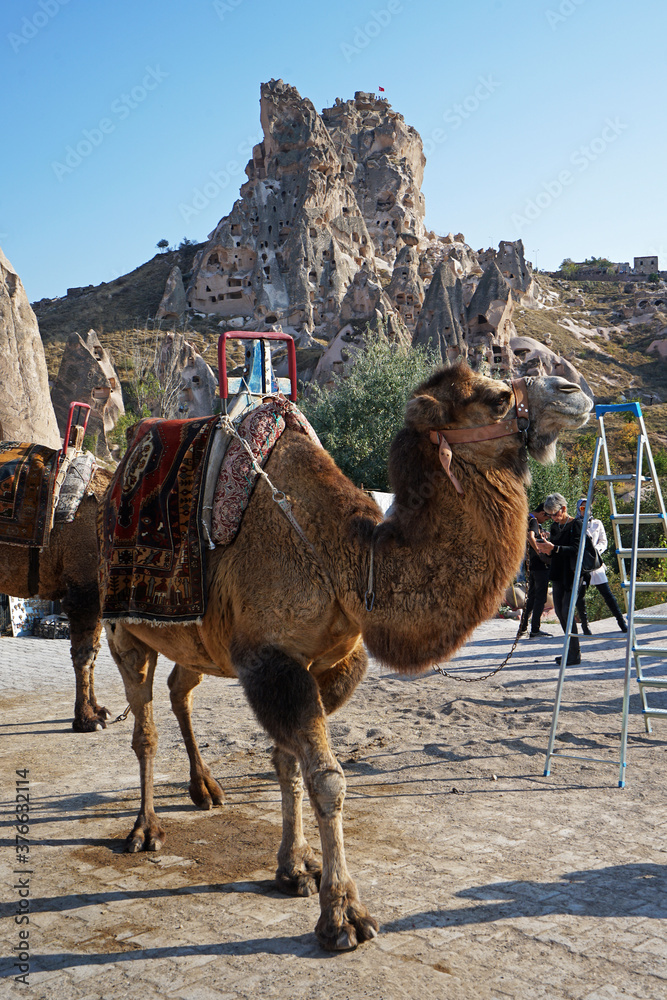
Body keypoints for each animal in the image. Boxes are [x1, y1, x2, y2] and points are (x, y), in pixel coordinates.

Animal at [103, 363, 592, 950]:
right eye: (498, 398)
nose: (574, 392)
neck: (350, 560)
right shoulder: (271, 660)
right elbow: (328, 779)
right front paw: (343, 914)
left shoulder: (329, 664)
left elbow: (287, 762)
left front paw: (295, 868)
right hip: (122, 627)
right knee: (144, 726)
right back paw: (145, 828)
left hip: (194, 641)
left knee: (181, 690)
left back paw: (205, 789)